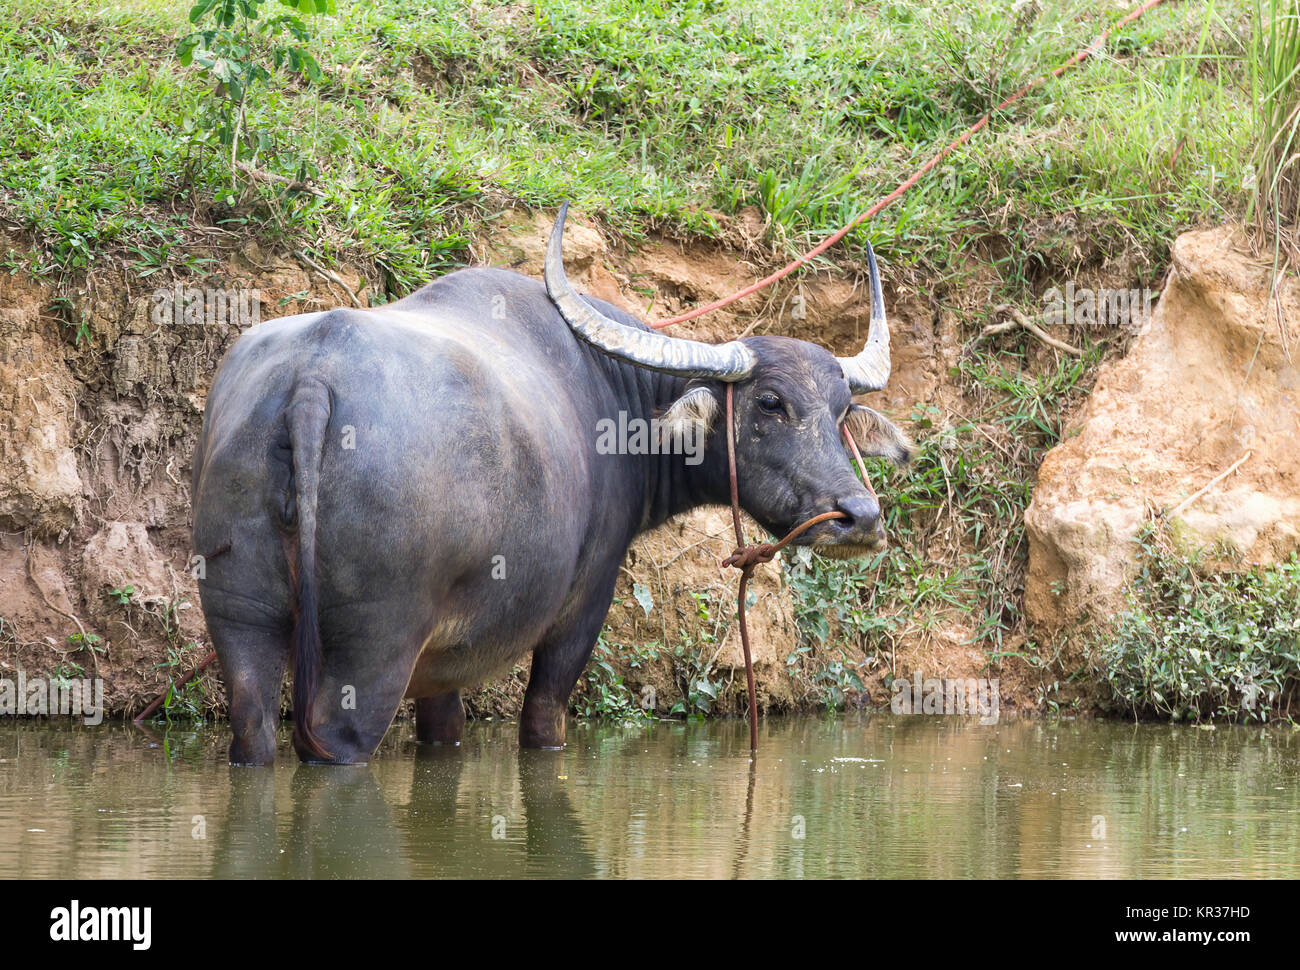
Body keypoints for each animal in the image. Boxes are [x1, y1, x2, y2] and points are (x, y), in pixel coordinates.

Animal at [191, 204, 911, 764]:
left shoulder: (443, 663)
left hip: (238, 614)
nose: (859, 517)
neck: (615, 398)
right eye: (769, 403)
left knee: (253, 731)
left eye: (842, 411)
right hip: (373, 646)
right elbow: (544, 719)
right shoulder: (582, 605)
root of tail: (312, 377)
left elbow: (445, 732)